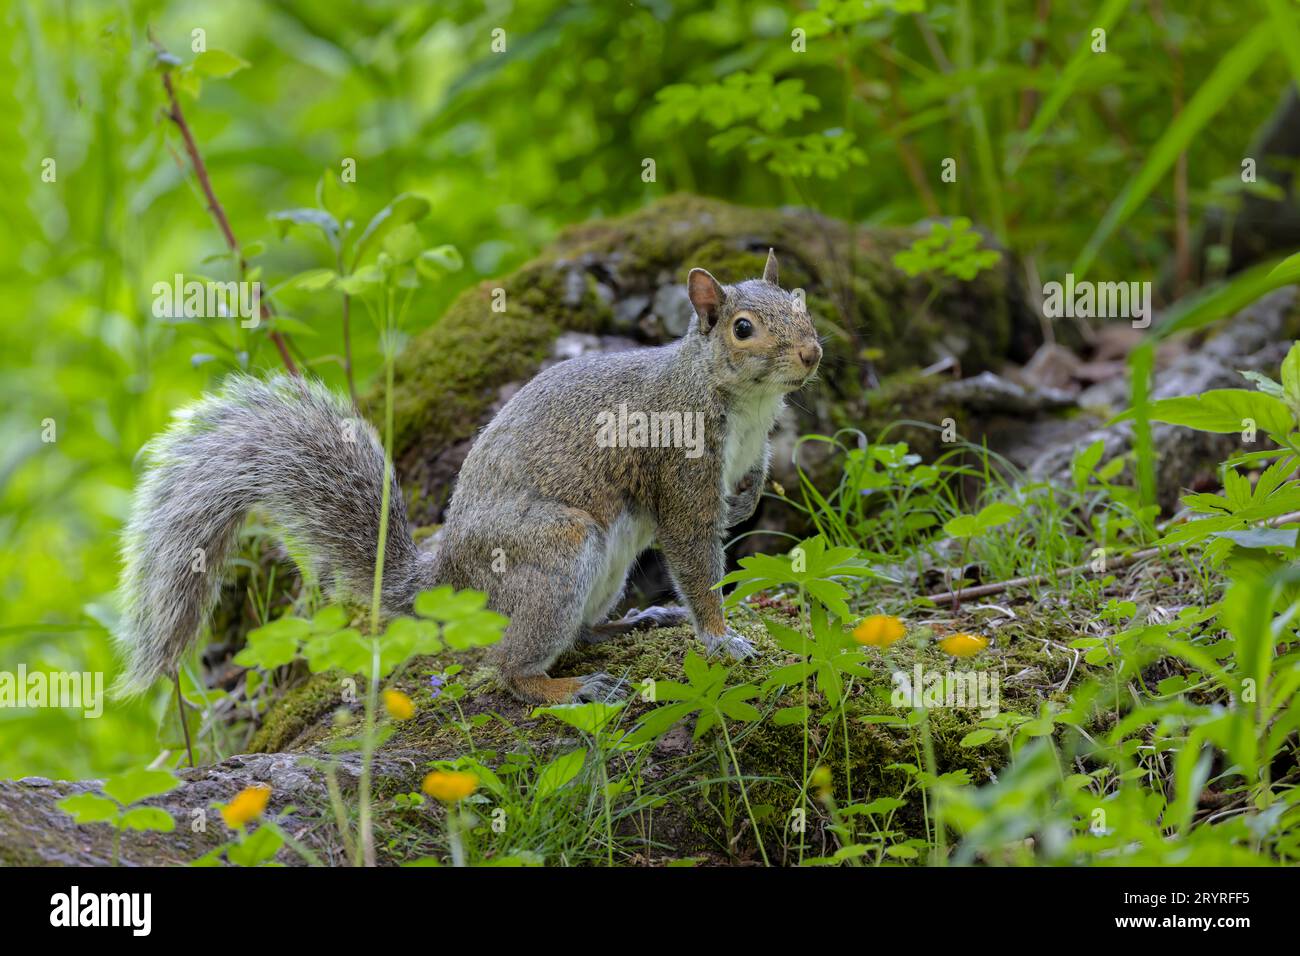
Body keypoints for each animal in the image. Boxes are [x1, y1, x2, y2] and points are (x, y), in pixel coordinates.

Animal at [114, 251, 821, 707]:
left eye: (802, 307)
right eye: (743, 329)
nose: (813, 353)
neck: (743, 403)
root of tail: (450, 577)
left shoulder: (748, 449)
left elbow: (749, 484)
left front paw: (744, 504)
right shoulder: (678, 470)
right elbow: (696, 561)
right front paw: (721, 638)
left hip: (601, 570)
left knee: (578, 631)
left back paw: (639, 621)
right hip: (556, 551)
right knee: (508, 667)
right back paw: (566, 687)